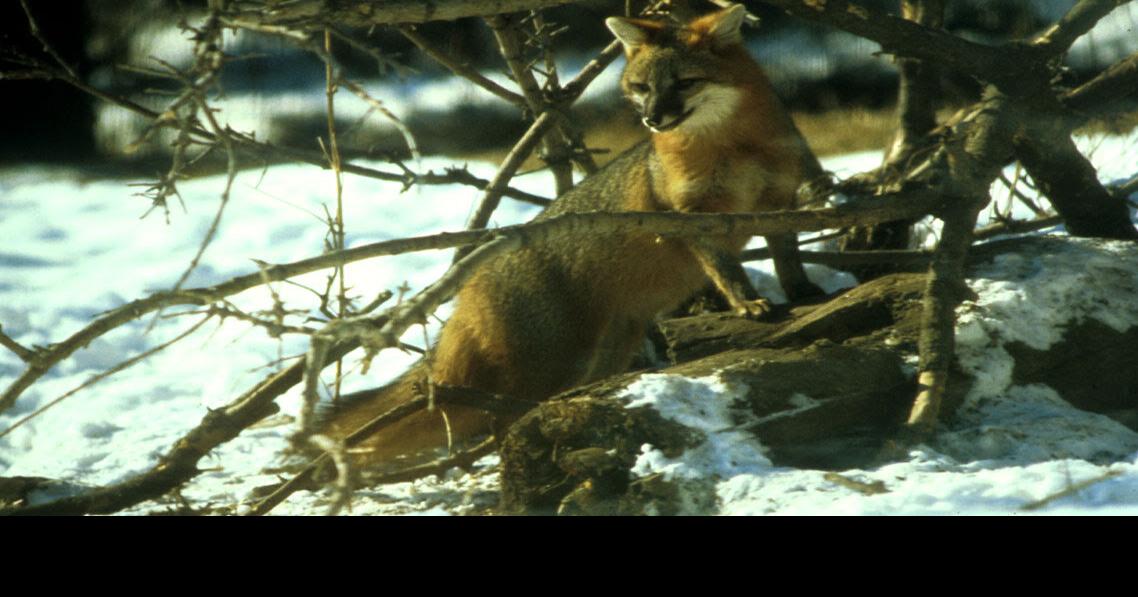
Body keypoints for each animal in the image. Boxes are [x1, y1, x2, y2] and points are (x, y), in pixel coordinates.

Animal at [313, 4, 825, 466]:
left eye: (684, 83)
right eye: (641, 88)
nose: (652, 120)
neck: (736, 148)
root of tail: (471, 280)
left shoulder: (778, 203)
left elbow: (787, 255)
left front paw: (801, 290)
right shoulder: (690, 215)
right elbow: (726, 266)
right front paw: (747, 300)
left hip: (603, 355)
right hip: (546, 367)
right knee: (503, 417)